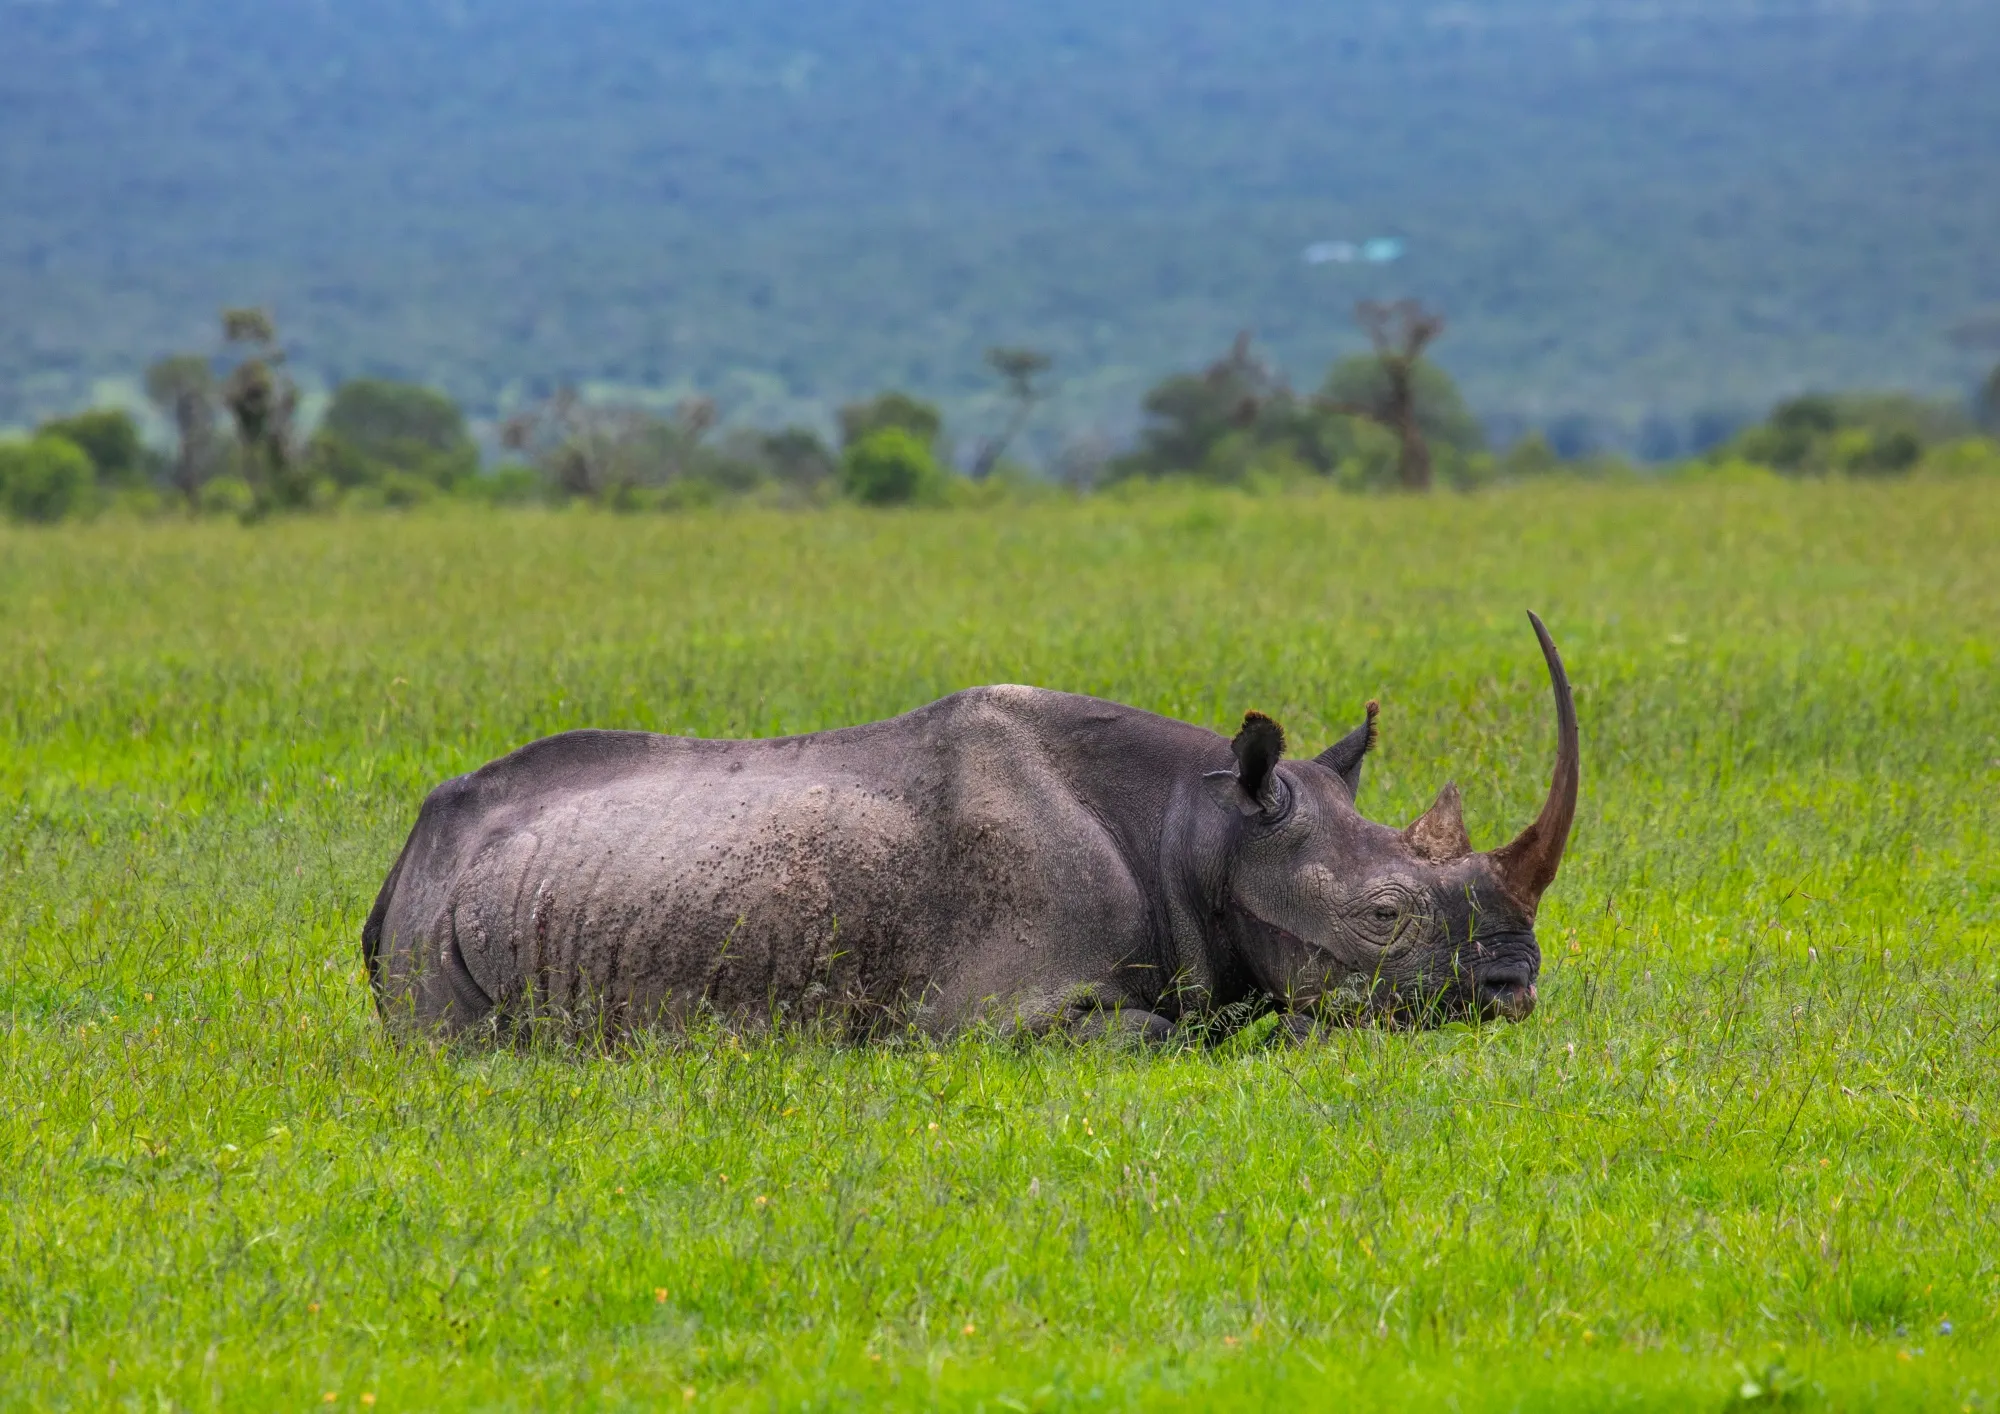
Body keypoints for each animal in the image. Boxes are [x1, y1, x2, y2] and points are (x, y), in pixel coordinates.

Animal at [365, 612, 1578, 1040]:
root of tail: (408, 851)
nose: (1511, 990)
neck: (1199, 825)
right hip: (439, 923)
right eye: (1382, 917)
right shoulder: (993, 1017)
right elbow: (1163, 1032)